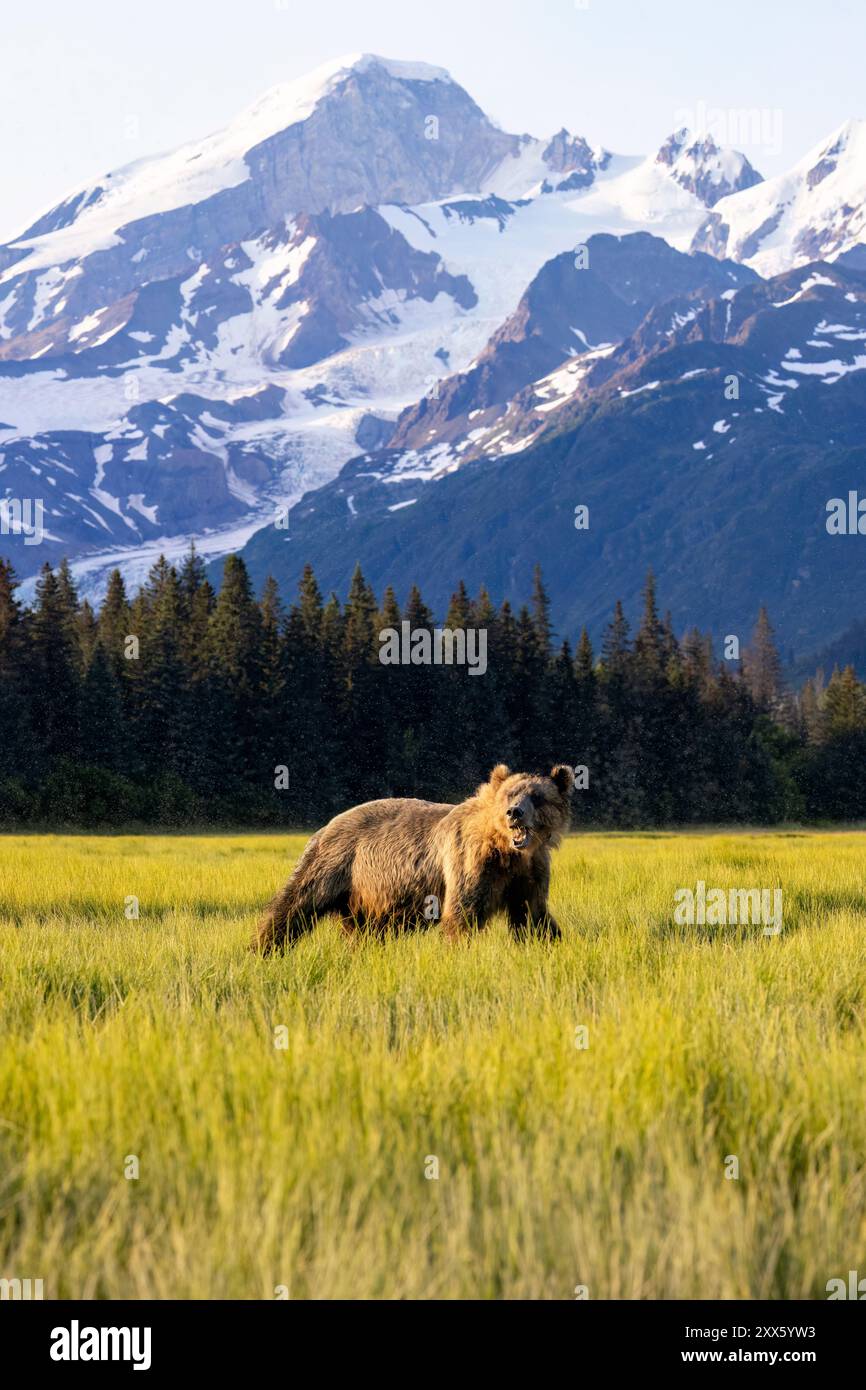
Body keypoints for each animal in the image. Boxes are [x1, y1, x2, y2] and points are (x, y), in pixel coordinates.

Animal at [253, 764, 575, 952]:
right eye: (509, 795)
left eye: (537, 797)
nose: (514, 813)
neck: (508, 852)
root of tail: (326, 826)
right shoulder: (471, 863)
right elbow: (463, 912)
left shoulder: (528, 874)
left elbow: (533, 915)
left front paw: (553, 944)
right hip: (335, 864)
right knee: (296, 904)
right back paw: (264, 947)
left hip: (365, 897)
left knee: (363, 931)